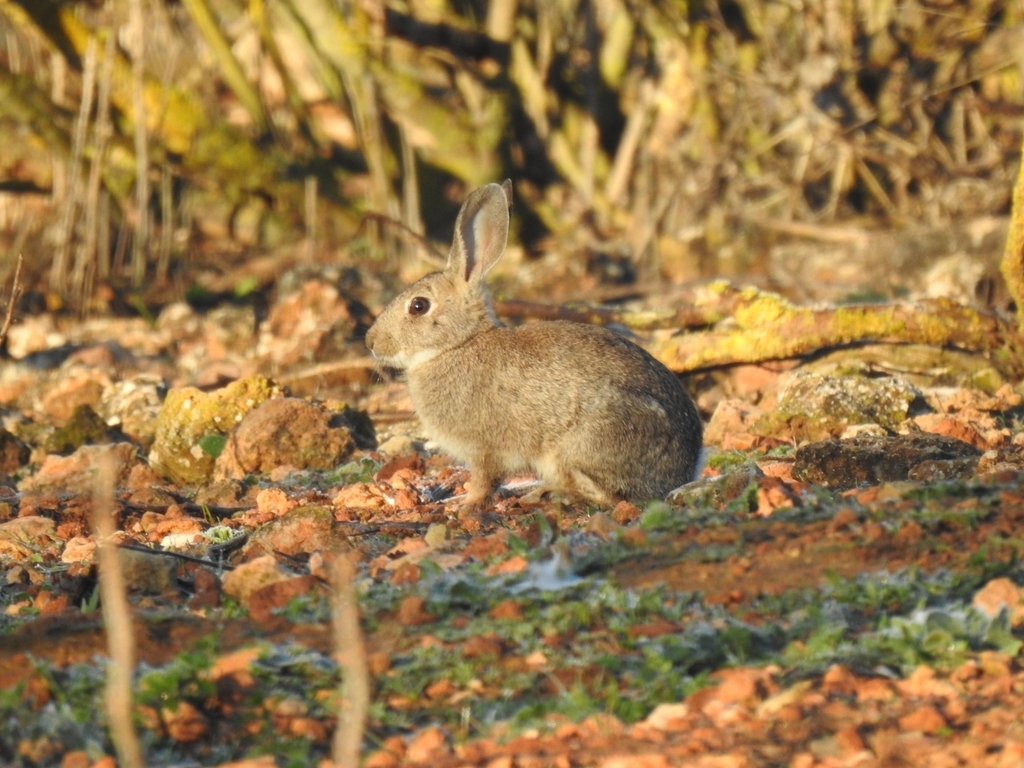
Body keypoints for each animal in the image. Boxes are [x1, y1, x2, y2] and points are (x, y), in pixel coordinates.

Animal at [365, 180, 703, 507]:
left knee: (610, 496)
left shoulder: (485, 449)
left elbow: (484, 481)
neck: (458, 344)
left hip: (584, 444)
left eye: (418, 306)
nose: (371, 341)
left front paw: (465, 507)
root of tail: (680, 473)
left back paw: (549, 495)